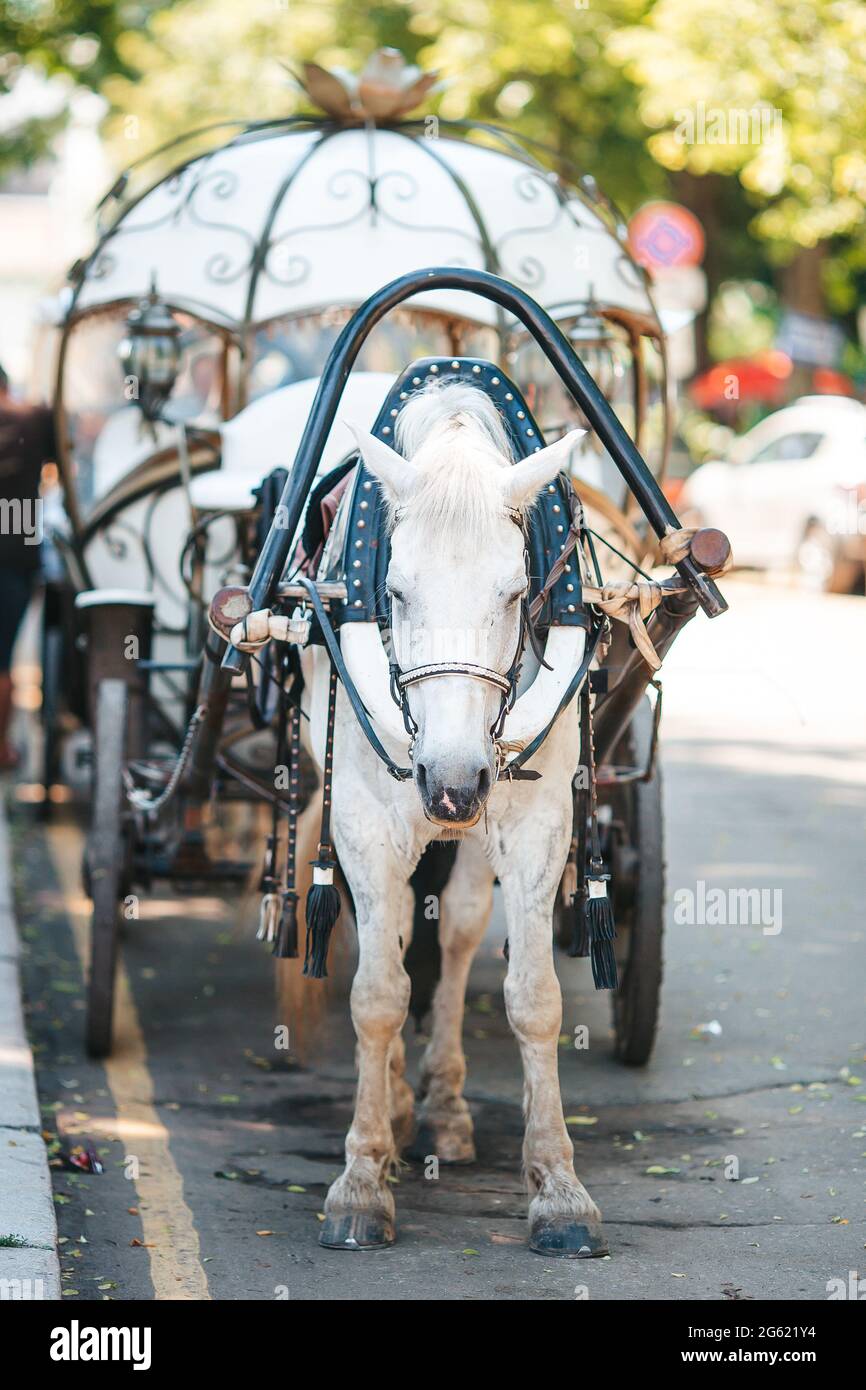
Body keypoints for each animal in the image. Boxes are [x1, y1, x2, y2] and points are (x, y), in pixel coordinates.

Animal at [301, 379, 607, 1258]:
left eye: (514, 594)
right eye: (396, 593)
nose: (451, 782)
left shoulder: (536, 825)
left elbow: (535, 998)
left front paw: (558, 1187)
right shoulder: (363, 824)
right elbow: (377, 993)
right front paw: (361, 1181)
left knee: (462, 927)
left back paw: (442, 1106)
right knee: (399, 934)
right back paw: (401, 1108)